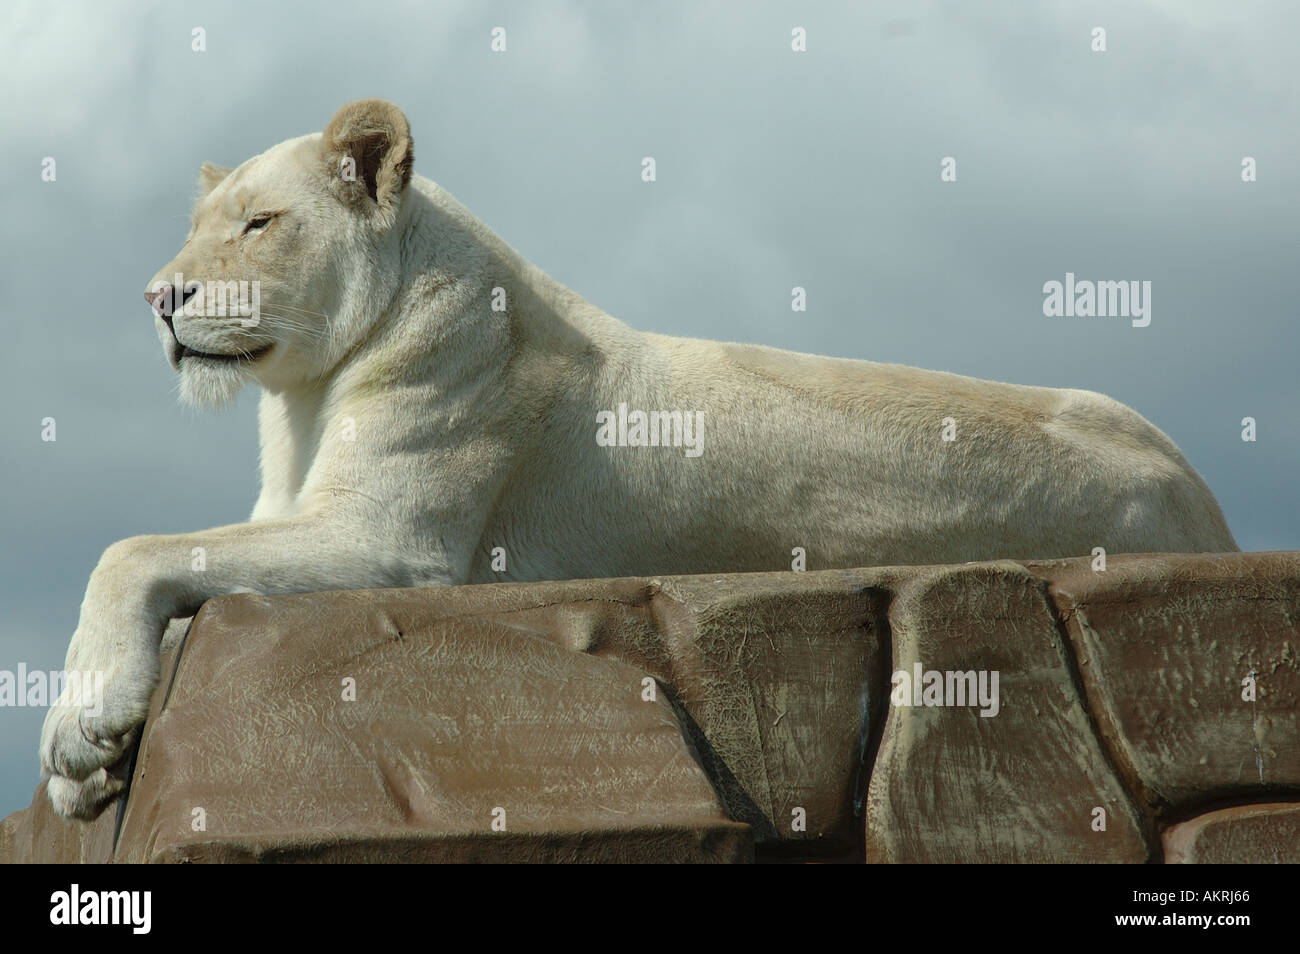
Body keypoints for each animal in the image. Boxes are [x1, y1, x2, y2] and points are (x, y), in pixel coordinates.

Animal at [40, 99, 1238, 819]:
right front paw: (94, 766)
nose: (159, 297)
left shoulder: (392, 543)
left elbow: (130, 549)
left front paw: (78, 731)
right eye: (204, 222)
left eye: (256, 224)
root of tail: (1211, 509)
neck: (301, 394)